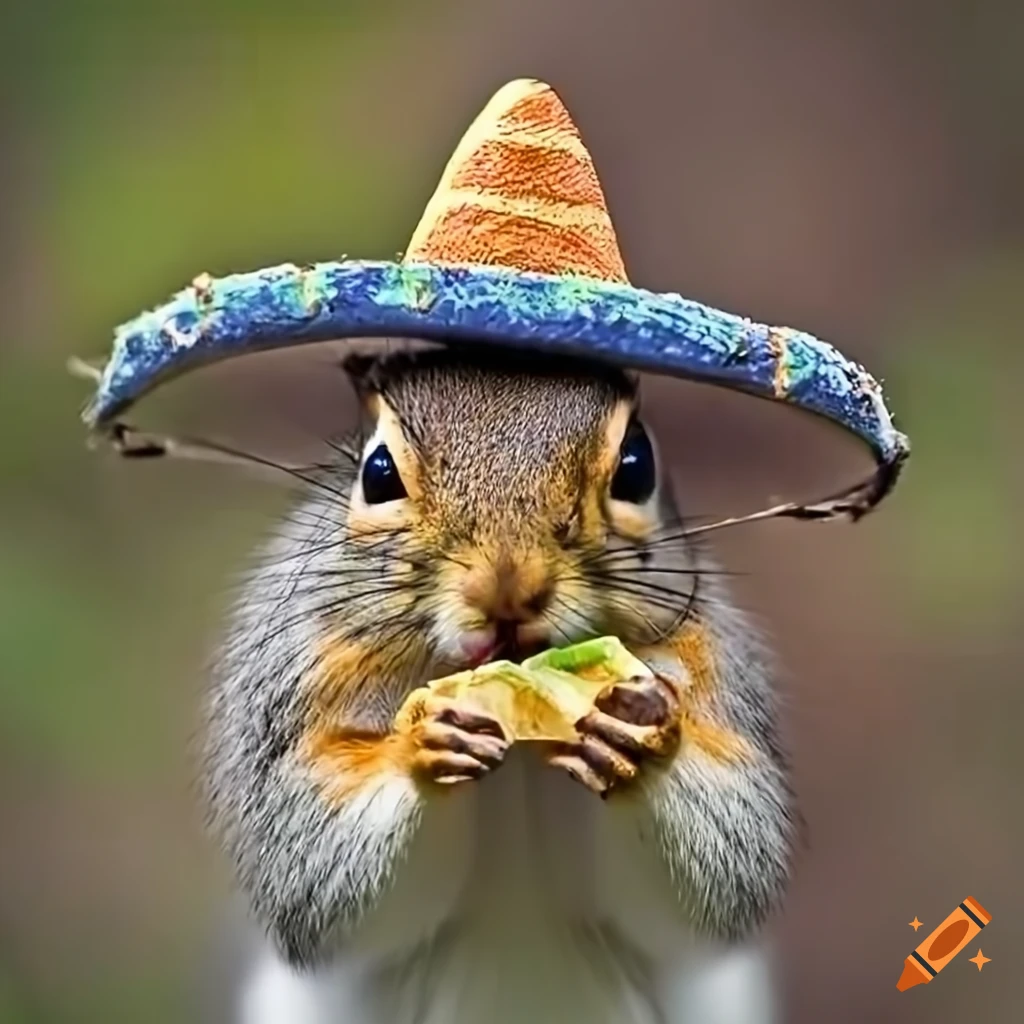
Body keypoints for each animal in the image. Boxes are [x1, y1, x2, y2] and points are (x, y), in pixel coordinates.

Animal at [203, 80, 798, 1024]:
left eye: (637, 466)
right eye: (376, 471)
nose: (509, 589)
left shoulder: (717, 680)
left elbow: (722, 871)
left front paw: (639, 733)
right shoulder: (291, 698)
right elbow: (313, 874)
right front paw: (425, 743)